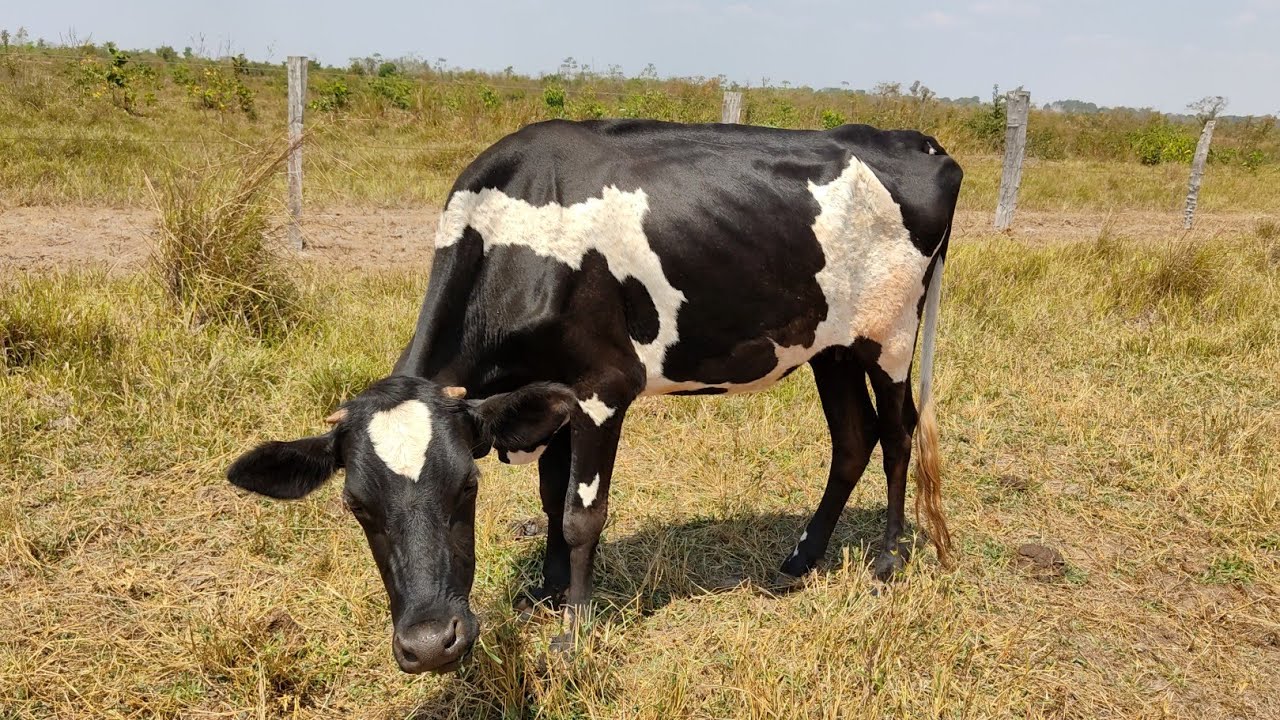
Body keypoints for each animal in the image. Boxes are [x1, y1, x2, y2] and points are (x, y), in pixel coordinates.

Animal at [227, 118, 962, 674]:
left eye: (466, 487)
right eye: (356, 505)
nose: (431, 645)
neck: (516, 246)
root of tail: (916, 141)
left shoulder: (604, 389)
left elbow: (583, 513)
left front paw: (575, 629)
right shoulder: (549, 393)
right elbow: (551, 497)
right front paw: (548, 591)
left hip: (892, 336)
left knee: (896, 436)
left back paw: (887, 560)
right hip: (830, 345)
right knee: (852, 441)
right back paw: (799, 561)